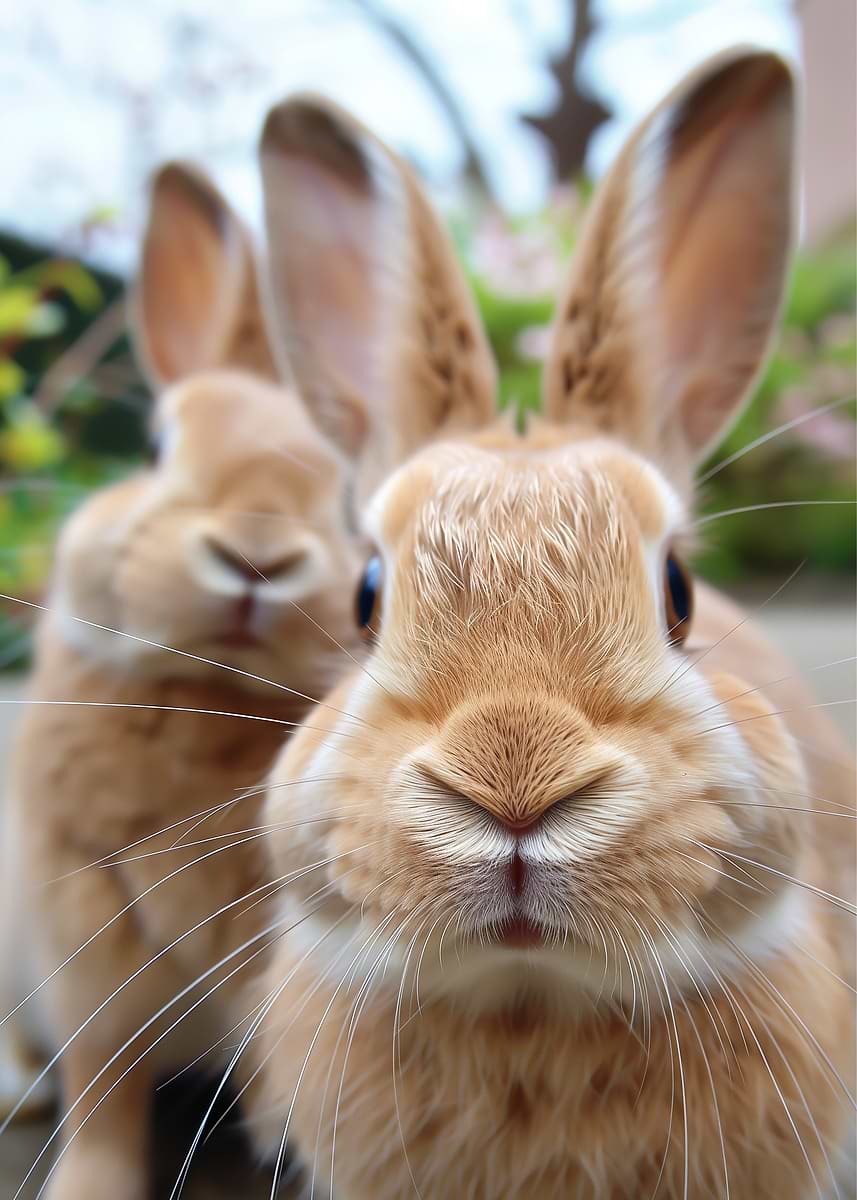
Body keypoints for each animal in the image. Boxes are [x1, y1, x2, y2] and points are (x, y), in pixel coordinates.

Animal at [0, 160, 363, 1200]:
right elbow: (102, 1084)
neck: (215, 689)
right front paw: (86, 1188)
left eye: (348, 492)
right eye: (157, 450)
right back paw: (15, 1093)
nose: (255, 553)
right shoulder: (83, 927)